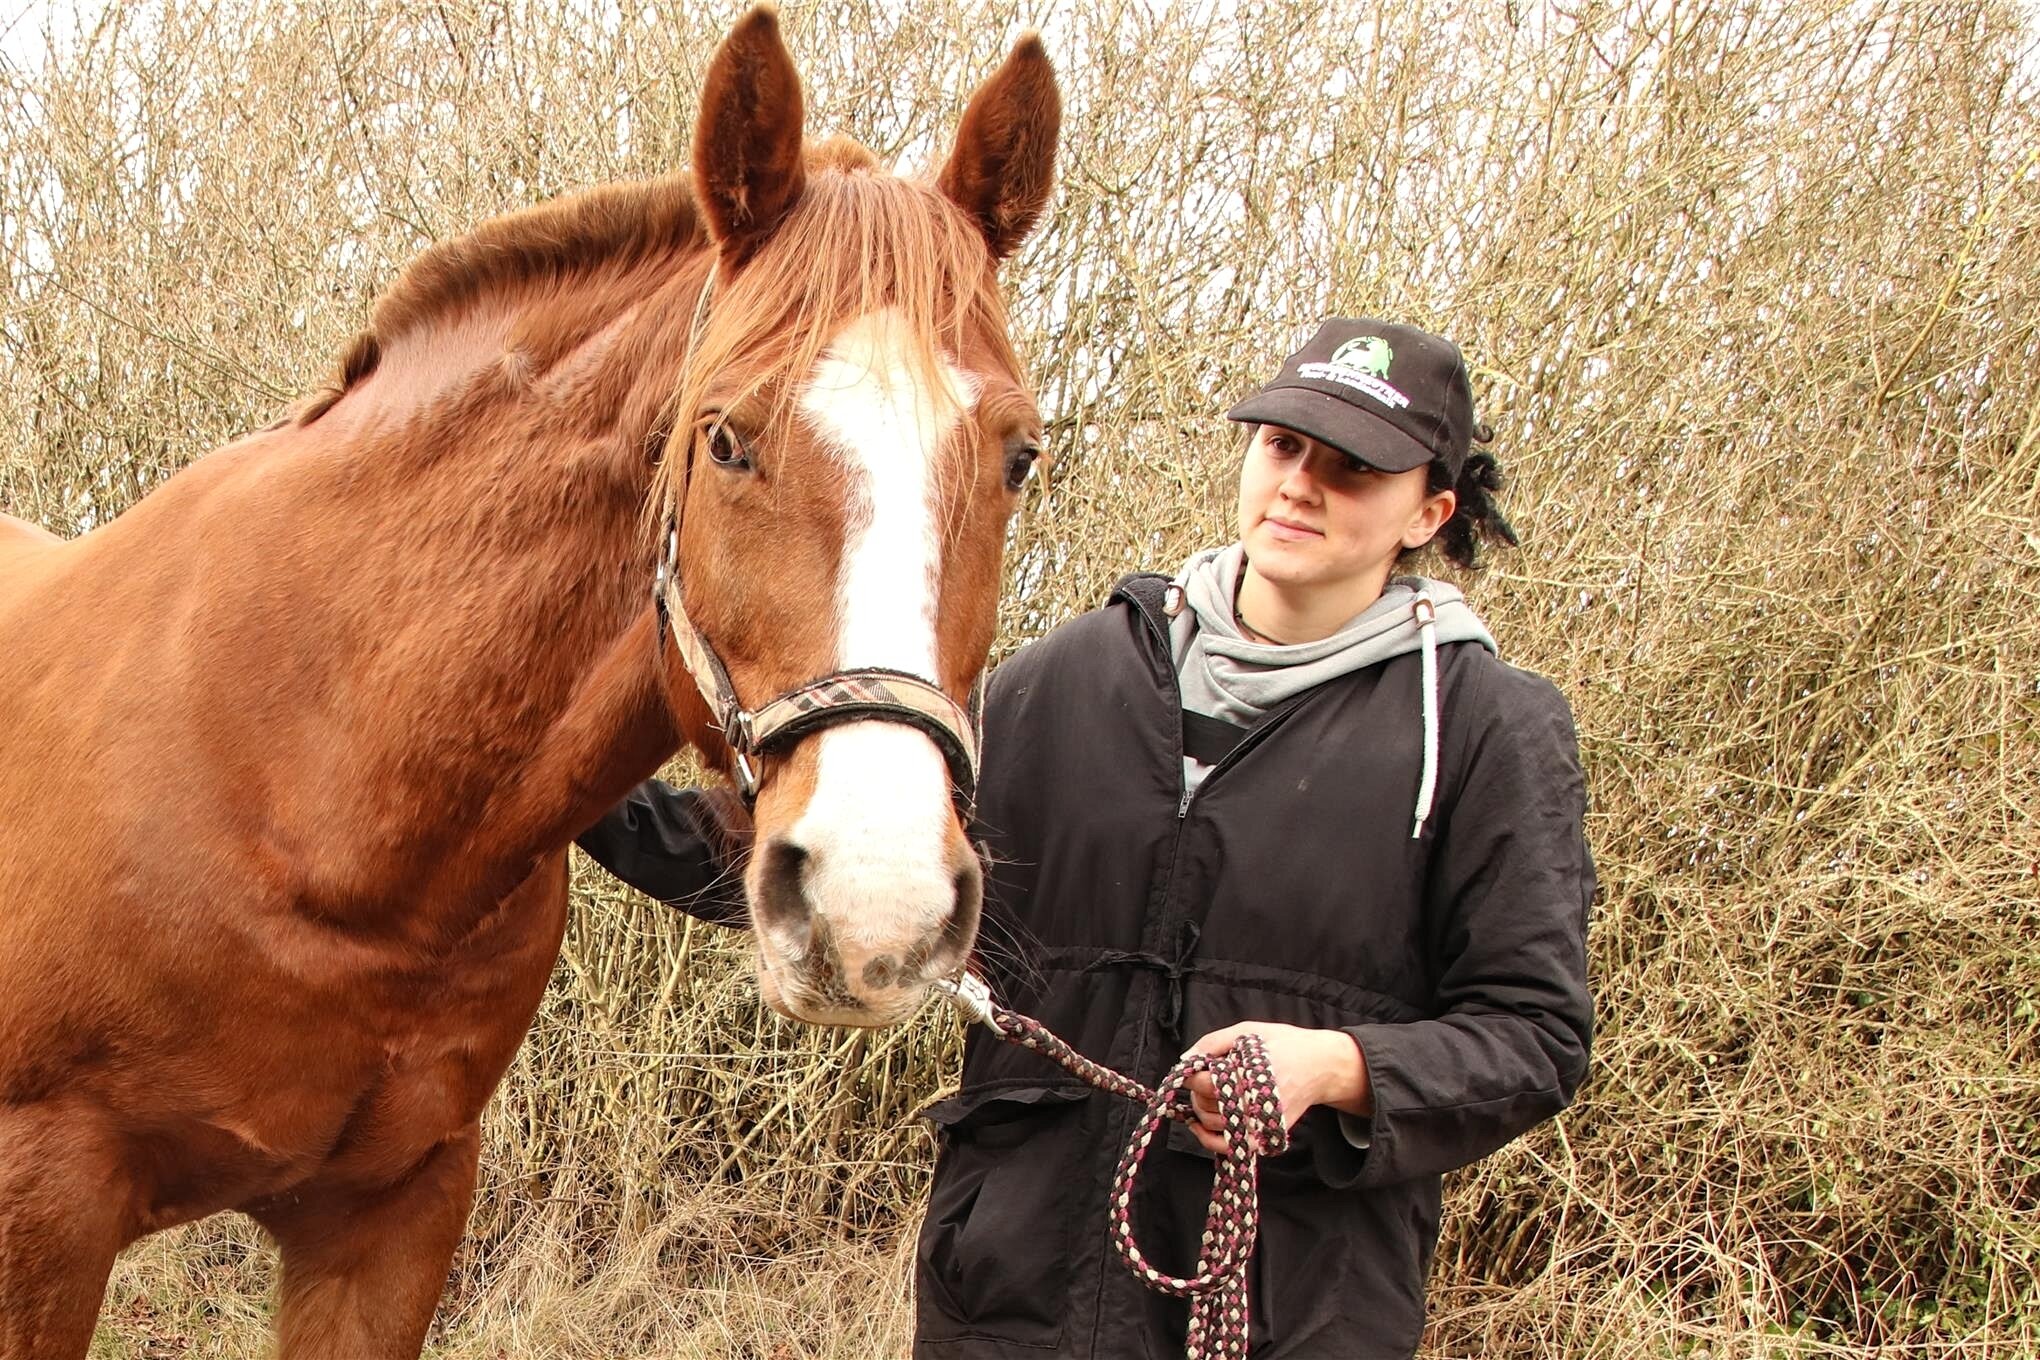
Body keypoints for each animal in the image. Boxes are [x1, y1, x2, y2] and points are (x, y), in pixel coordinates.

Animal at [0, 8, 1059, 1355]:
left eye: (1020, 455)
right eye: (726, 439)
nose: (878, 906)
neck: (301, 778)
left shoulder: (396, 1209)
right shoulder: (42, 1210)